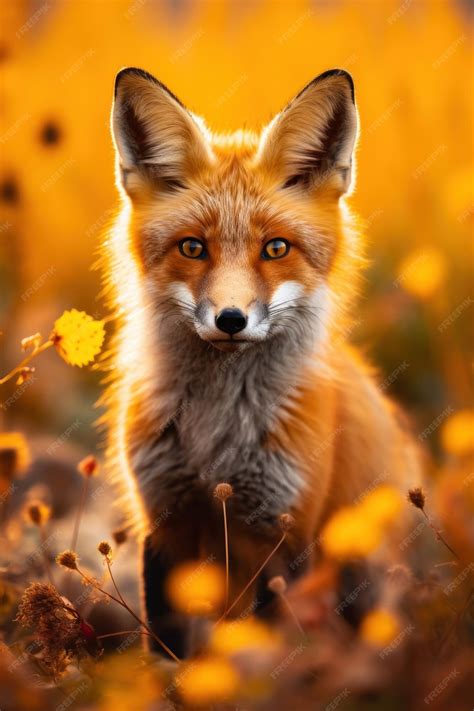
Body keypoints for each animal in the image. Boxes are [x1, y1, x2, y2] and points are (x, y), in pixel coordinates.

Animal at [104, 66, 421, 656]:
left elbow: (274, 643)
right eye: (192, 248)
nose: (231, 319)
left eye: (275, 248)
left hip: (356, 570)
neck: (215, 438)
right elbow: (166, 643)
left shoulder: (282, 531)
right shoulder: (164, 518)